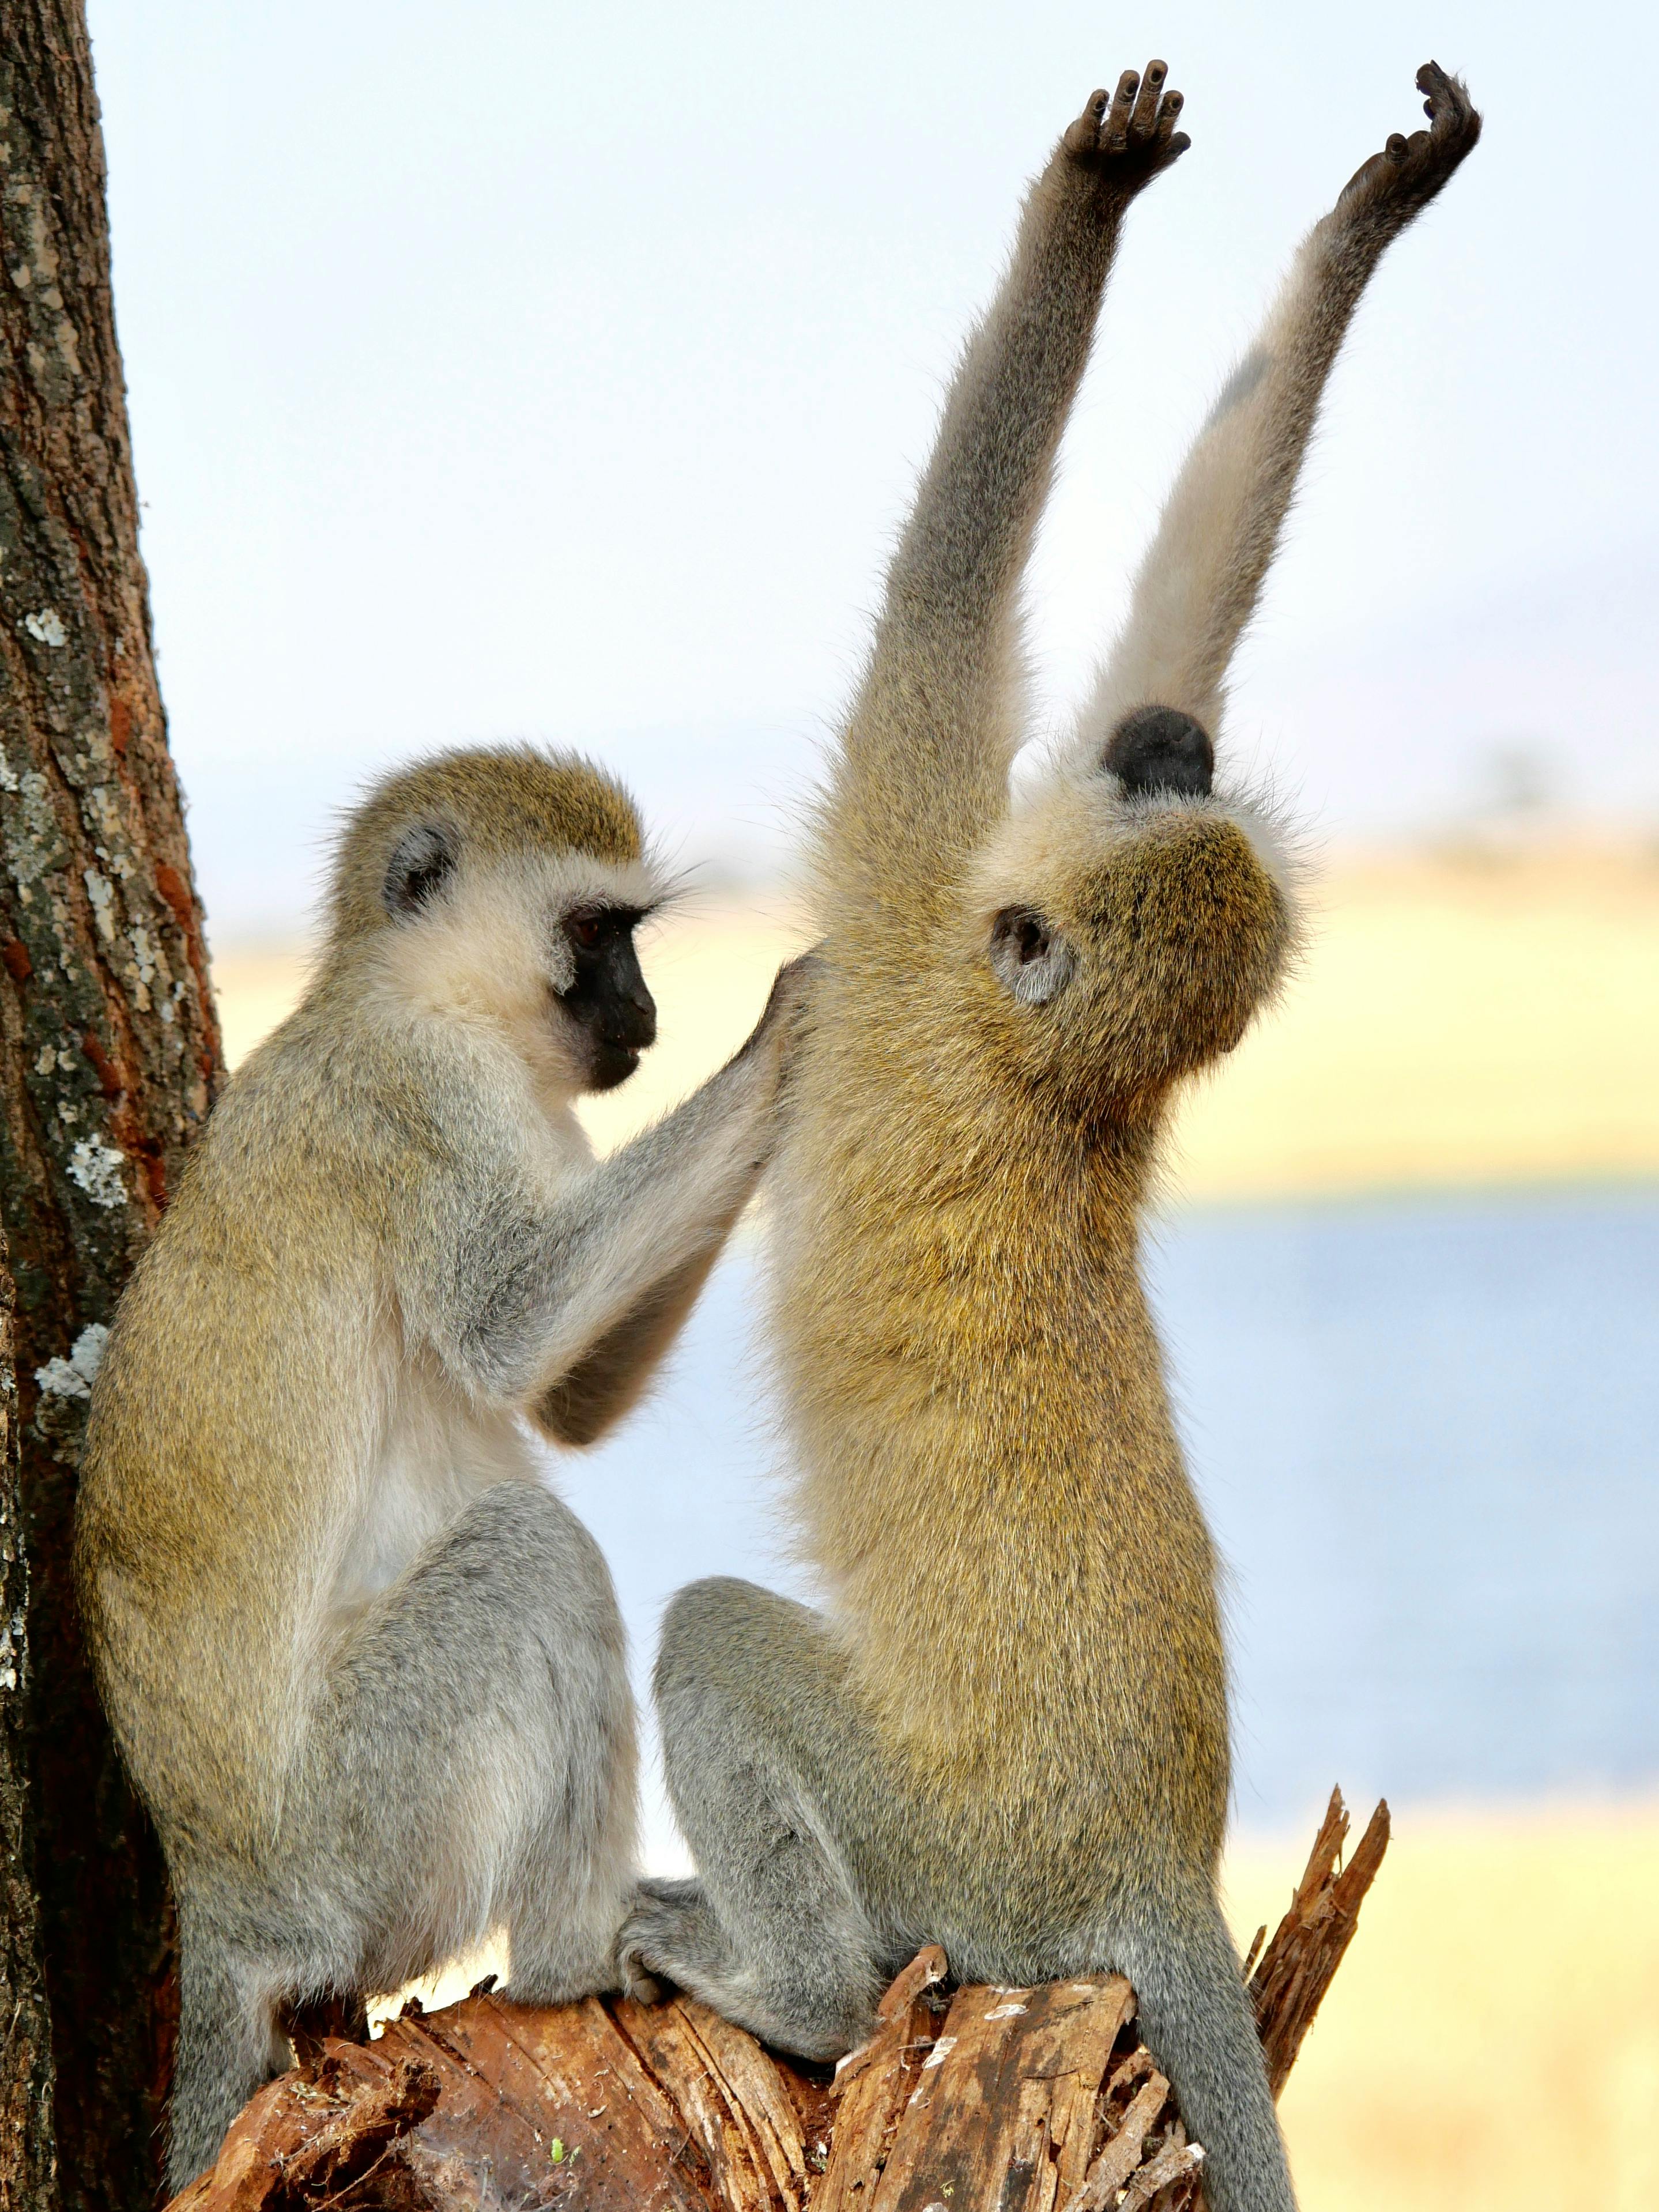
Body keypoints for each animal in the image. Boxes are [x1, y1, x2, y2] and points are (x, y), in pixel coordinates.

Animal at [74, 744, 812, 2190]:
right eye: (594, 932)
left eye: (633, 936)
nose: (646, 1010)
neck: (417, 994)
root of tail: (225, 1902)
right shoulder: (421, 1100)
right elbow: (509, 1325)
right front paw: (800, 1015)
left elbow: (565, 1390)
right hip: (366, 1825)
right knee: (532, 1556)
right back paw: (582, 1960)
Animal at [619, 62, 1480, 2212]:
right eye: (1160, 784)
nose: (1164, 750)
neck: (1056, 1085)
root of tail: (1156, 1865)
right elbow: (1187, 591)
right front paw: (1374, 206)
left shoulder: (898, 899)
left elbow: (950, 579)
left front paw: (1089, 200)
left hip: (948, 1848)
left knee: (713, 1644)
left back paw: (799, 1992)